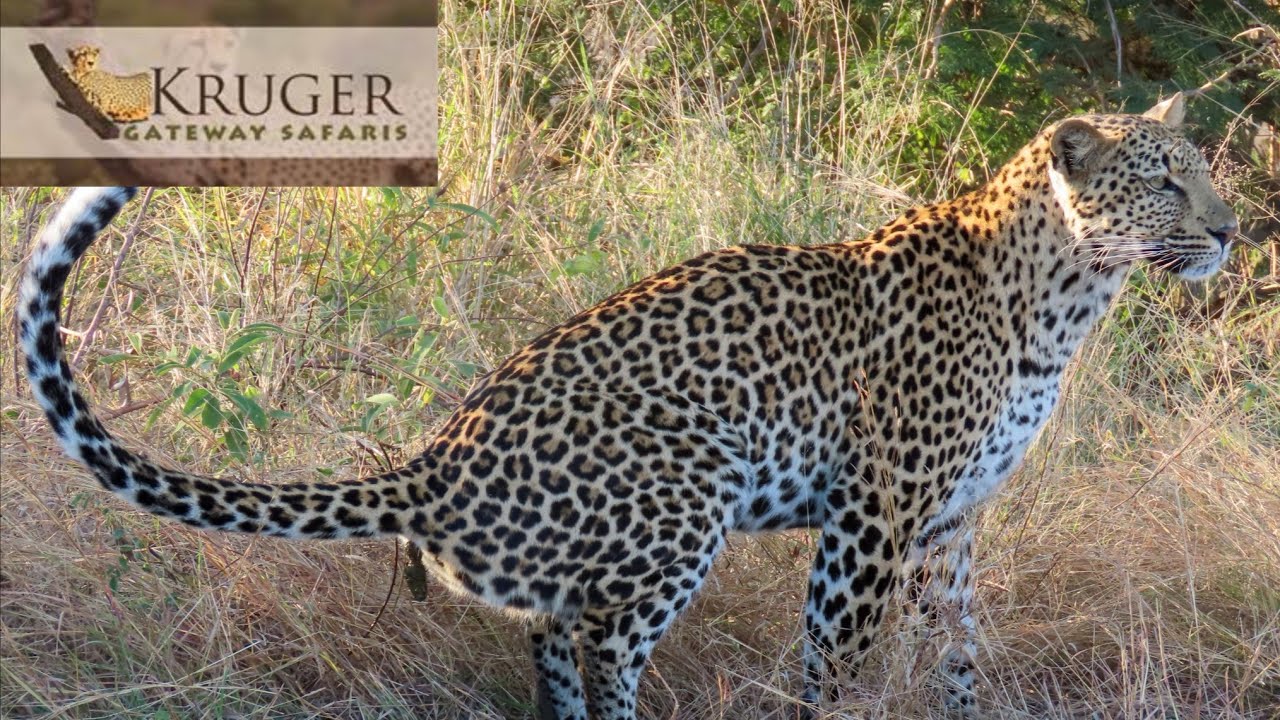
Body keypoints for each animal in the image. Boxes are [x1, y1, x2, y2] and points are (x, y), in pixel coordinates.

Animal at [18, 93, 1236, 719]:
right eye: (1164, 177)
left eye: (1200, 169)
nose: (1231, 230)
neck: (1065, 301)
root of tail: (433, 458)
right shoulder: (872, 519)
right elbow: (837, 664)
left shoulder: (950, 523)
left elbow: (963, 654)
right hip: (688, 488)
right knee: (605, 651)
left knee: (558, 645)